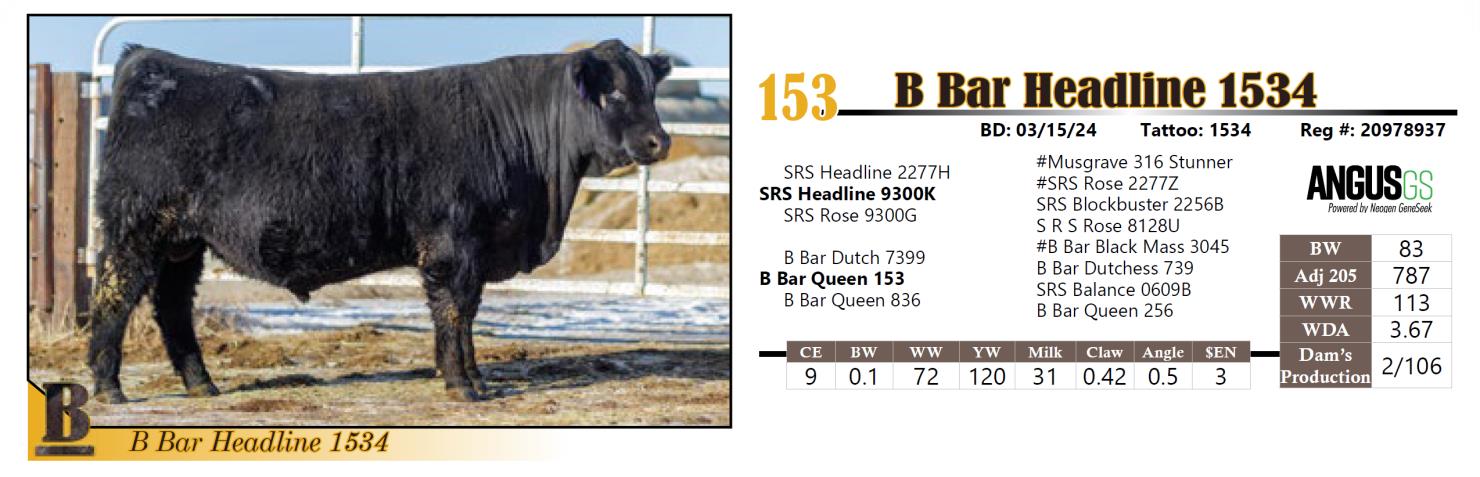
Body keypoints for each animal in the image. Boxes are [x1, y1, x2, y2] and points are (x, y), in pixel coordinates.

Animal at [86, 39, 672, 403]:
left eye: (651, 90)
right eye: (614, 92)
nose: (658, 142)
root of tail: (149, 60)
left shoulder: (476, 249)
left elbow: (465, 315)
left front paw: (474, 377)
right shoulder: (453, 246)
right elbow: (454, 312)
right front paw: (463, 385)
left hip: (183, 242)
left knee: (171, 306)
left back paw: (200, 384)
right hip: (136, 229)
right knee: (114, 296)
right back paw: (109, 388)